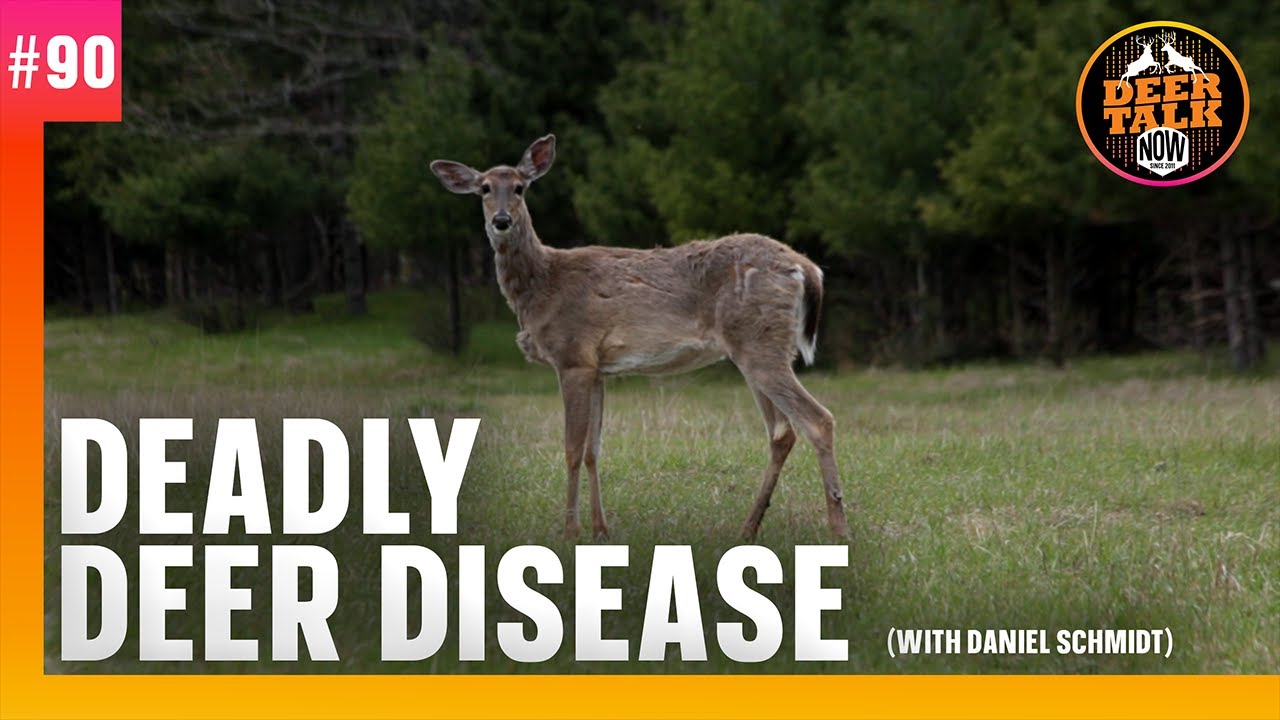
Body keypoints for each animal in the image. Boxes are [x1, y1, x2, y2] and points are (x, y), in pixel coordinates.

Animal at [430, 135, 849, 541]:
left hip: (760, 344)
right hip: (756, 348)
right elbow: (593, 450)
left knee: (818, 419)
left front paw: (570, 531)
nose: (501, 220)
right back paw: (748, 528)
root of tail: (807, 267)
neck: (543, 285)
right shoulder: (597, 368)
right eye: (484, 188)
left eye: (520, 187)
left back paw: (838, 528)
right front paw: (600, 529)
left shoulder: (572, 356)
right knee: (782, 432)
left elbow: (570, 448)